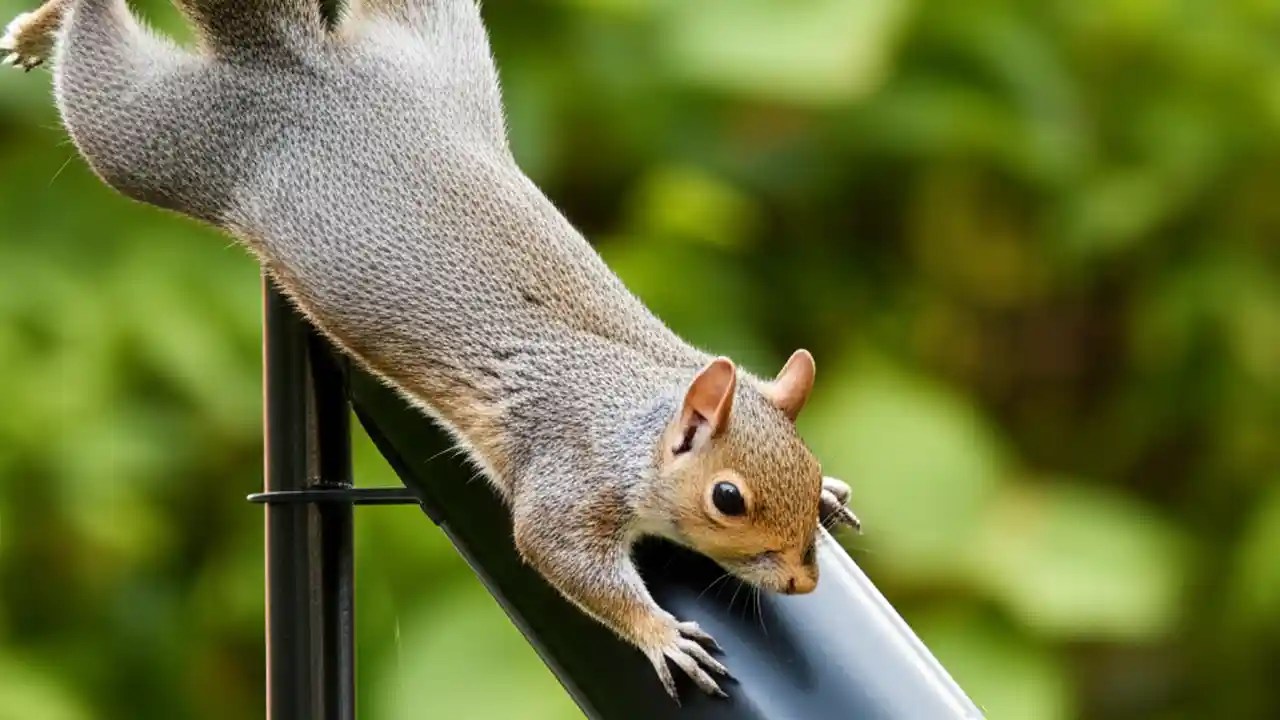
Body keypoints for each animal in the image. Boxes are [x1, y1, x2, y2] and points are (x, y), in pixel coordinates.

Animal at [2, 0, 861, 700]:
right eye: (728, 498)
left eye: (805, 460)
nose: (800, 581)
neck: (634, 410)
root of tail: (300, 68)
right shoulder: (568, 479)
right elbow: (562, 558)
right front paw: (659, 636)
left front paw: (829, 492)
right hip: (161, 141)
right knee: (96, 67)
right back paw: (48, 25)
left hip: (437, 44)